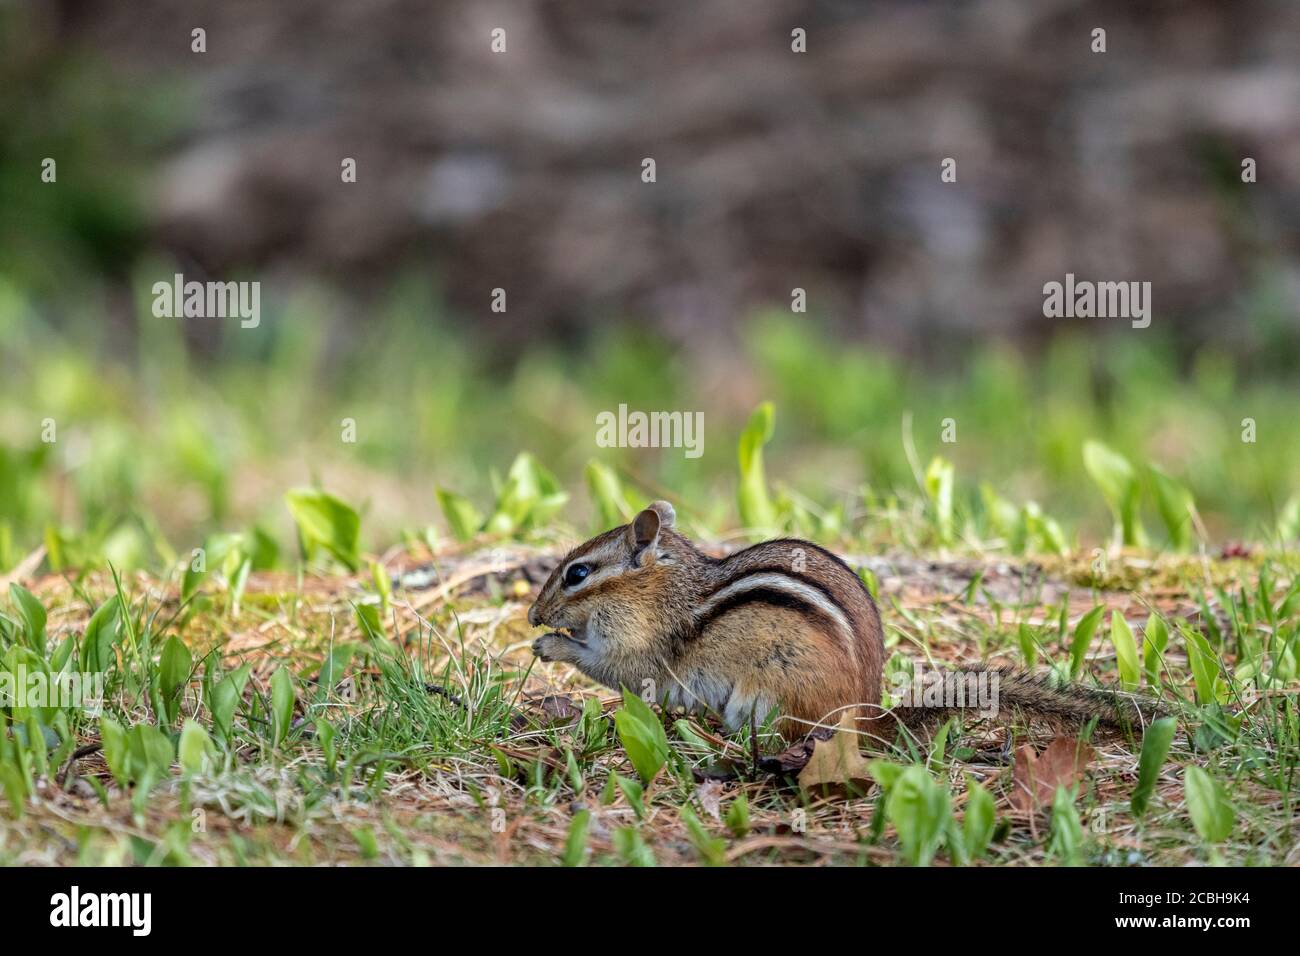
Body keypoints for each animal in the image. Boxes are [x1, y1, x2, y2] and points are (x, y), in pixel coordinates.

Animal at [528, 501, 1161, 742]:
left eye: (577, 574)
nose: (533, 613)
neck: (659, 588)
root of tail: (868, 719)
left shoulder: (638, 648)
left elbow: (609, 666)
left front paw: (550, 645)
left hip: (768, 699)